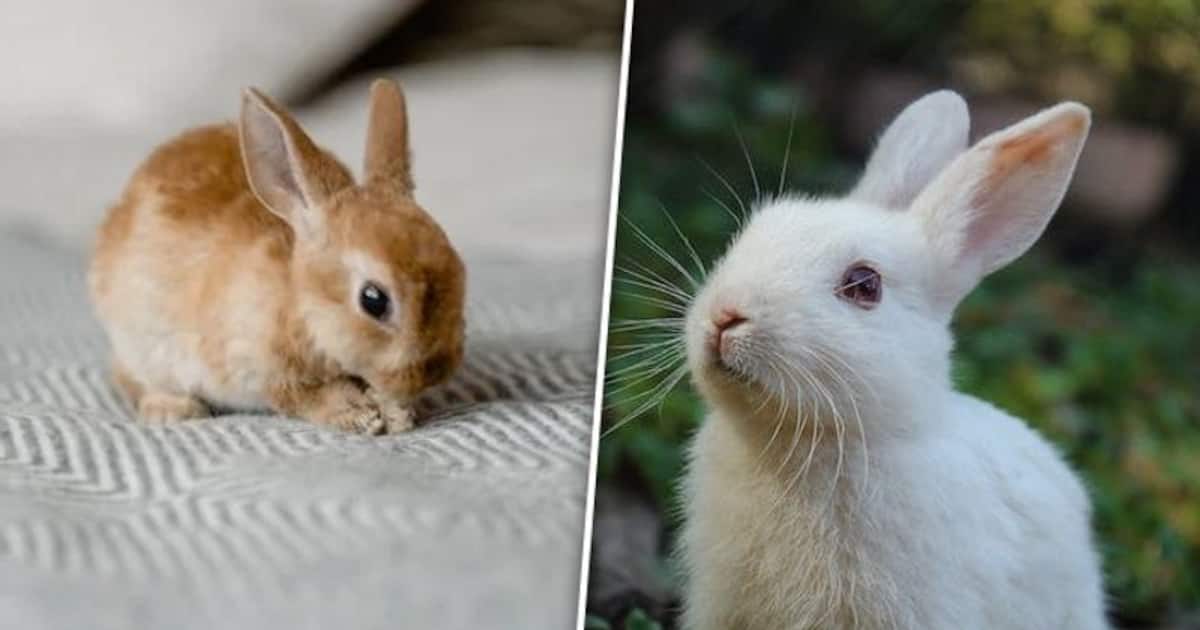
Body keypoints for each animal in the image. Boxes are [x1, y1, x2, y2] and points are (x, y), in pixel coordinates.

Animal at [89, 79, 465, 435]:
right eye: (373, 300)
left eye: (460, 270)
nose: (432, 372)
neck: (297, 301)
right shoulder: (265, 370)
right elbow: (310, 397)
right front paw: (361, 416)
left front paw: (396, 414)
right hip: (140, 346)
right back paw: (173, 411)